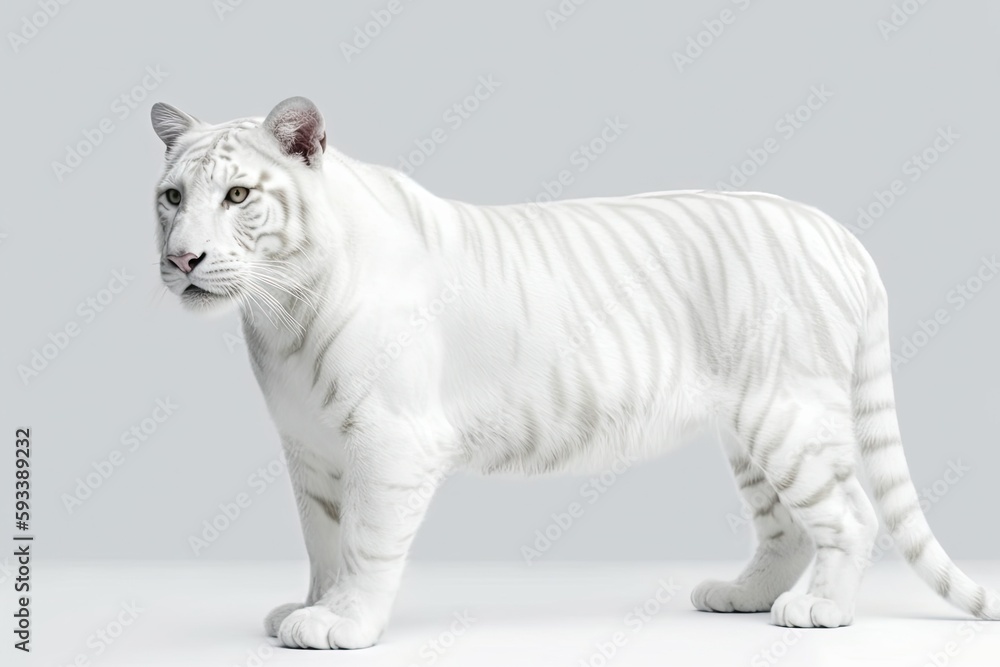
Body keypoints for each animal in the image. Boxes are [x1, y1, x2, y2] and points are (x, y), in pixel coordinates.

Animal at [151, 96, 999, 649]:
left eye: (238, 195)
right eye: (171, 196)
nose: (182, 258)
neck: (282, 310)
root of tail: (834, 229)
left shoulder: (390, 439)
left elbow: (364, 539)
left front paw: (342, 623)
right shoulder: (310, 448)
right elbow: (322, 539)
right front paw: (307, 606)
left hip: (788, 414)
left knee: (848, 515)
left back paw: (818, 610)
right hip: (751, 428)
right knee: (786, 524)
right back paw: (744, 596)